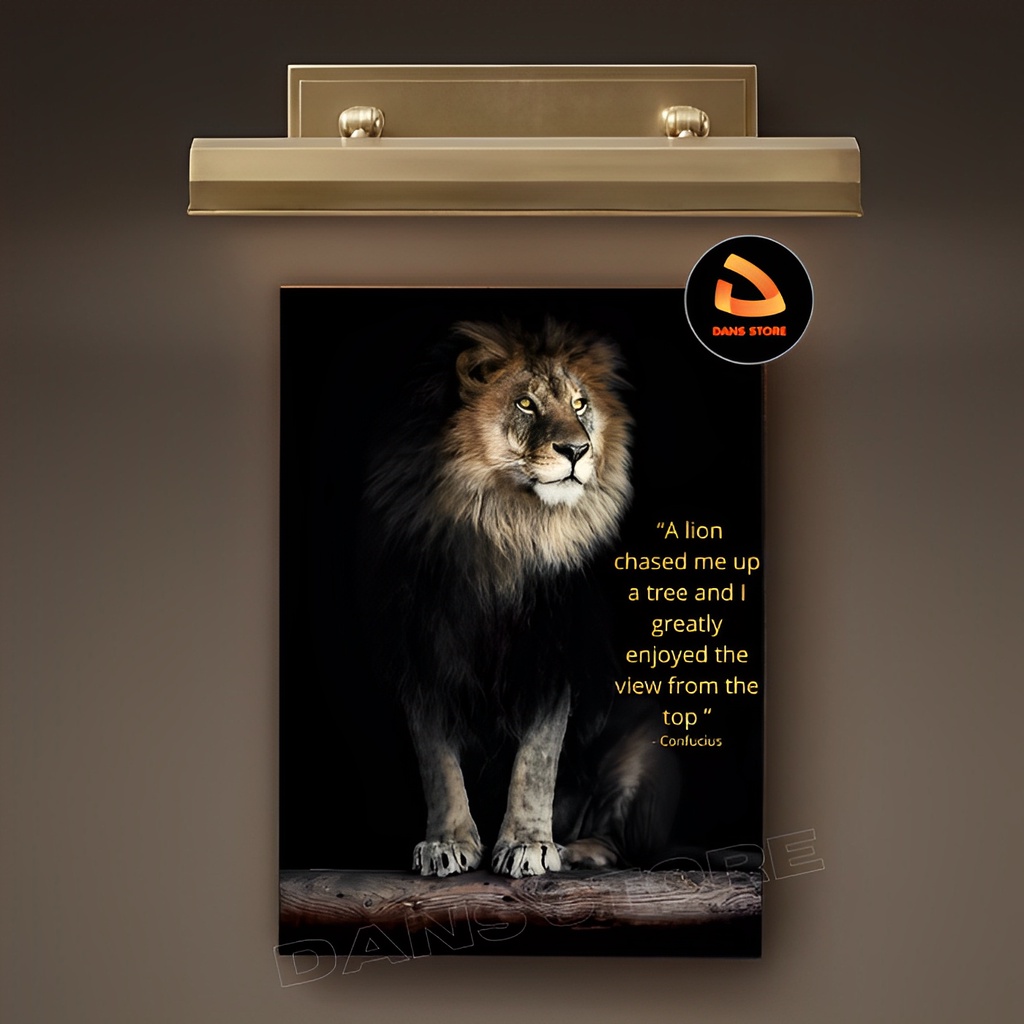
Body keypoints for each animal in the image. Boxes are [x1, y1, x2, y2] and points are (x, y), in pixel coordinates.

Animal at [364, 318, 677, 879]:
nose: (577, 450)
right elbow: (437, 764)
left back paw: (576, 850)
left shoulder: (553, 656)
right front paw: (446, 842)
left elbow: (536, 760)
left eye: (579, 403)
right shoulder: (422, 657)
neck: (503, 528)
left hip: (648, 740)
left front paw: (530, 844)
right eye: (526, 404)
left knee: (618, 842)